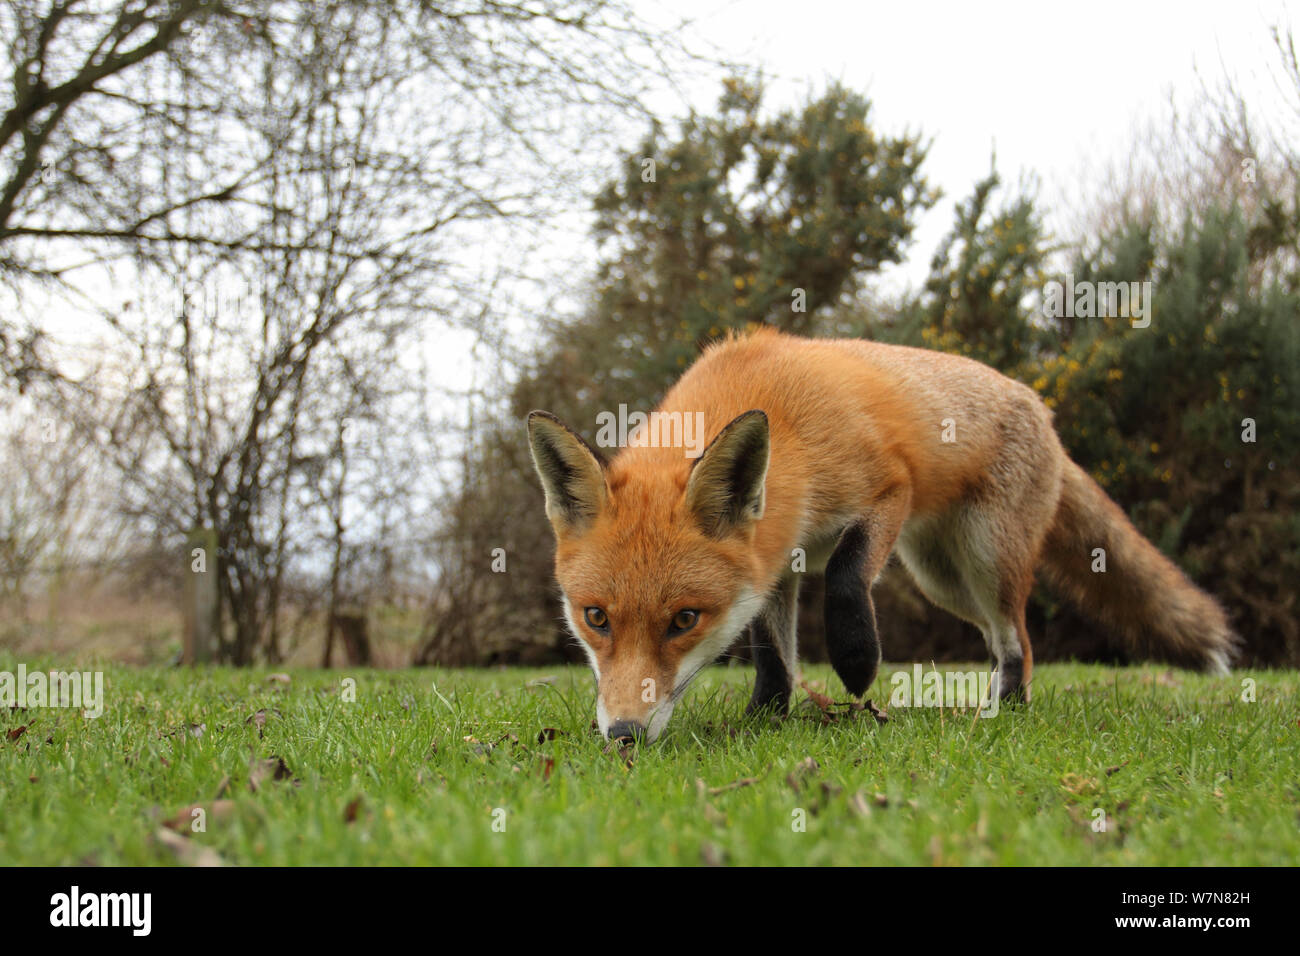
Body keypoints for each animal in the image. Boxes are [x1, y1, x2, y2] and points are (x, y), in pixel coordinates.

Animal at [527, 328, 1237, 744]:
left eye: (683, 621)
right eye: (595, 618)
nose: (622, 733)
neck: (787, 426)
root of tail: (1042, 409)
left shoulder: (887, 490)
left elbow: (845, 576)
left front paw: (857, 665)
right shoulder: (773, 558)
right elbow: (771, 652)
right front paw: (765, 718)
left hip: (984, 559)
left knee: (1021, 641)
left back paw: (1002, 712)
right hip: (943, 578)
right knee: (1000, 639)